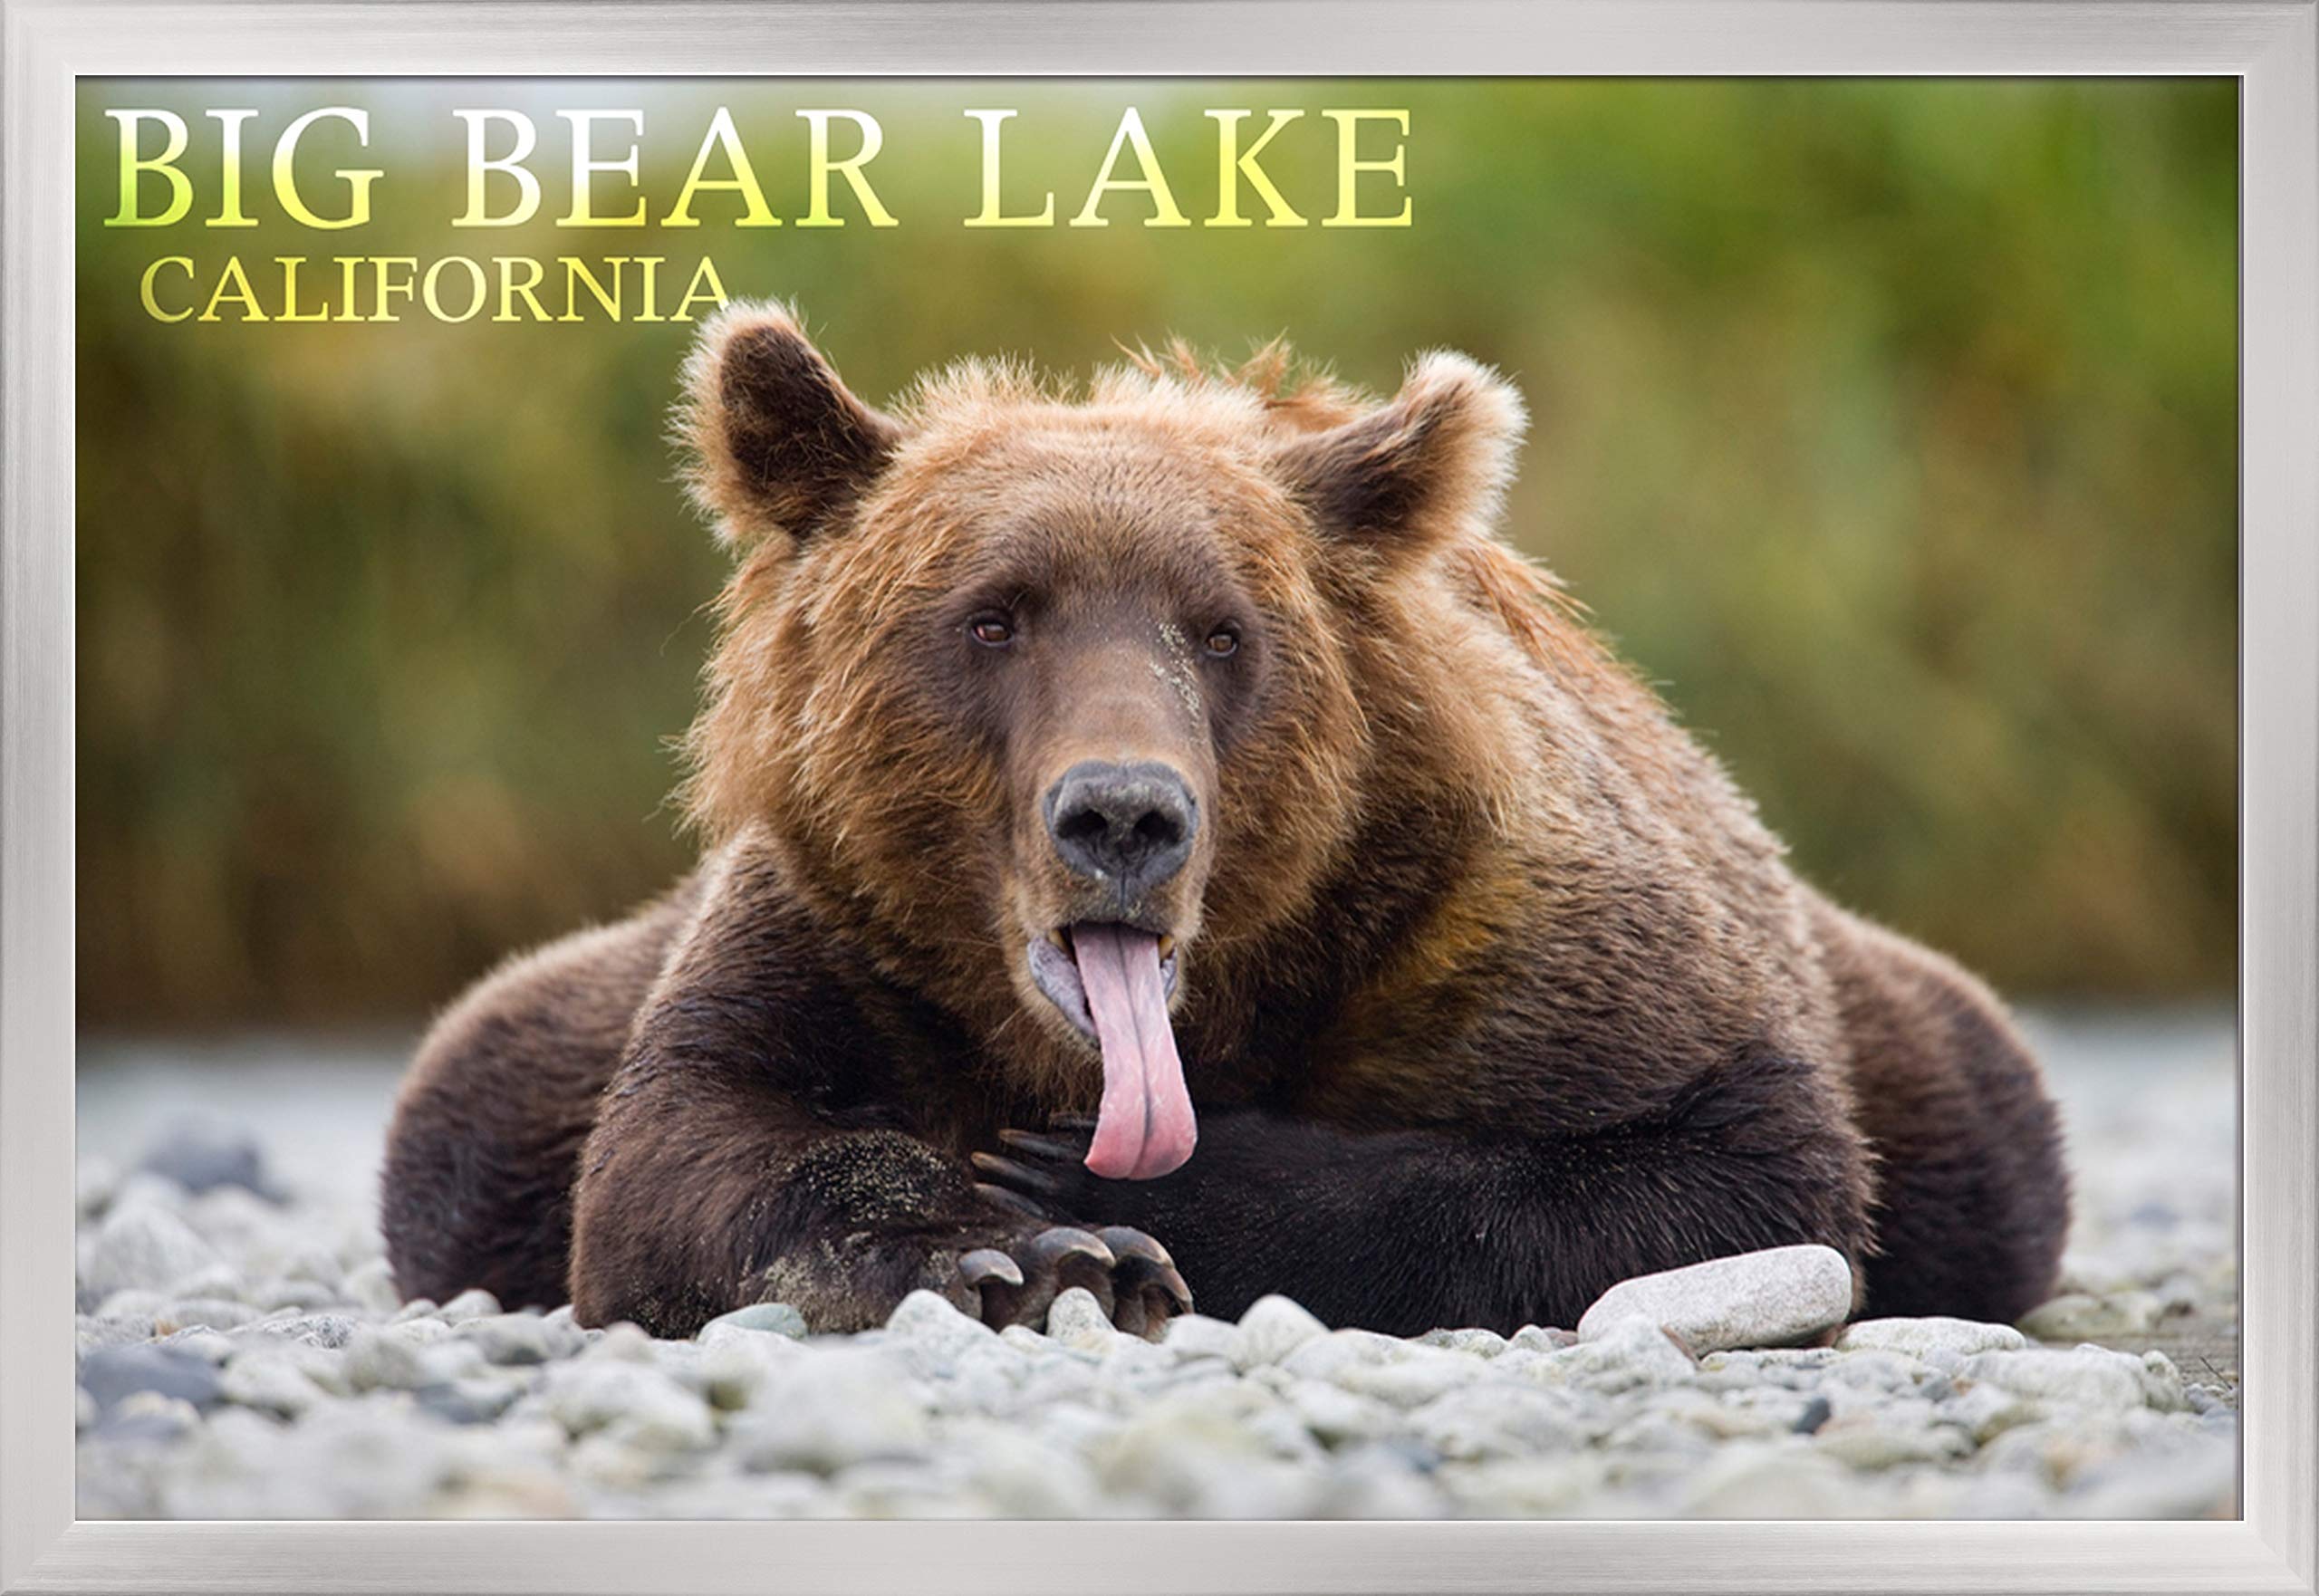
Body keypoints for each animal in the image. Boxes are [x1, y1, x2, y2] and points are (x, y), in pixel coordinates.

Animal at [379, 301, 2069, 1341]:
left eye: (1219, 630)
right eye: (991, 616)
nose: (1125, 815)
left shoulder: (1517, 944)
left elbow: (1726, 1163)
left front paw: (1089, 1194)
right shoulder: (839, 935)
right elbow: (688, 1144)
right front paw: (1005, 1244)